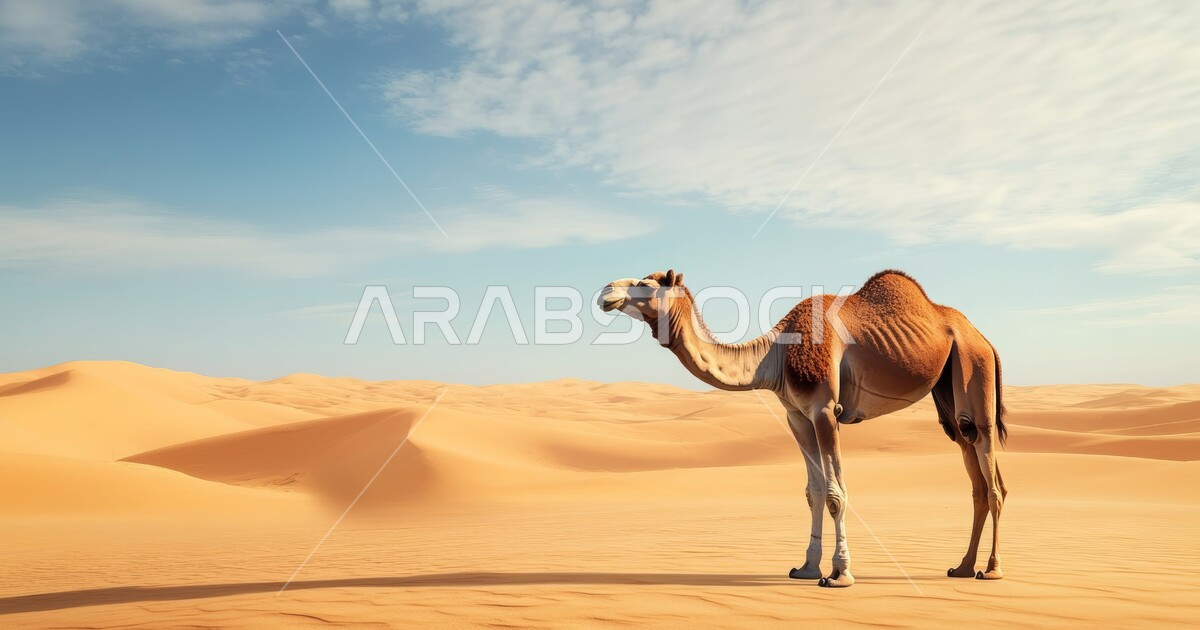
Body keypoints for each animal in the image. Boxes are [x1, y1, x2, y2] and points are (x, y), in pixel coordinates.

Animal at [598, 269, 1008, 588]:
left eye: (645, 283)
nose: (606, 292)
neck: (775, 355)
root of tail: (986, 339)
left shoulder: (825, 410)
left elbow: (835, 492)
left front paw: (840, 573)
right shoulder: (797, 415)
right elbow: (813, 492)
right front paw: (808, 567)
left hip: (974, 367)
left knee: (991, 474)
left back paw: (991, 569)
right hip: (949, 395)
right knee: (971, 461)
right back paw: (963, 567)